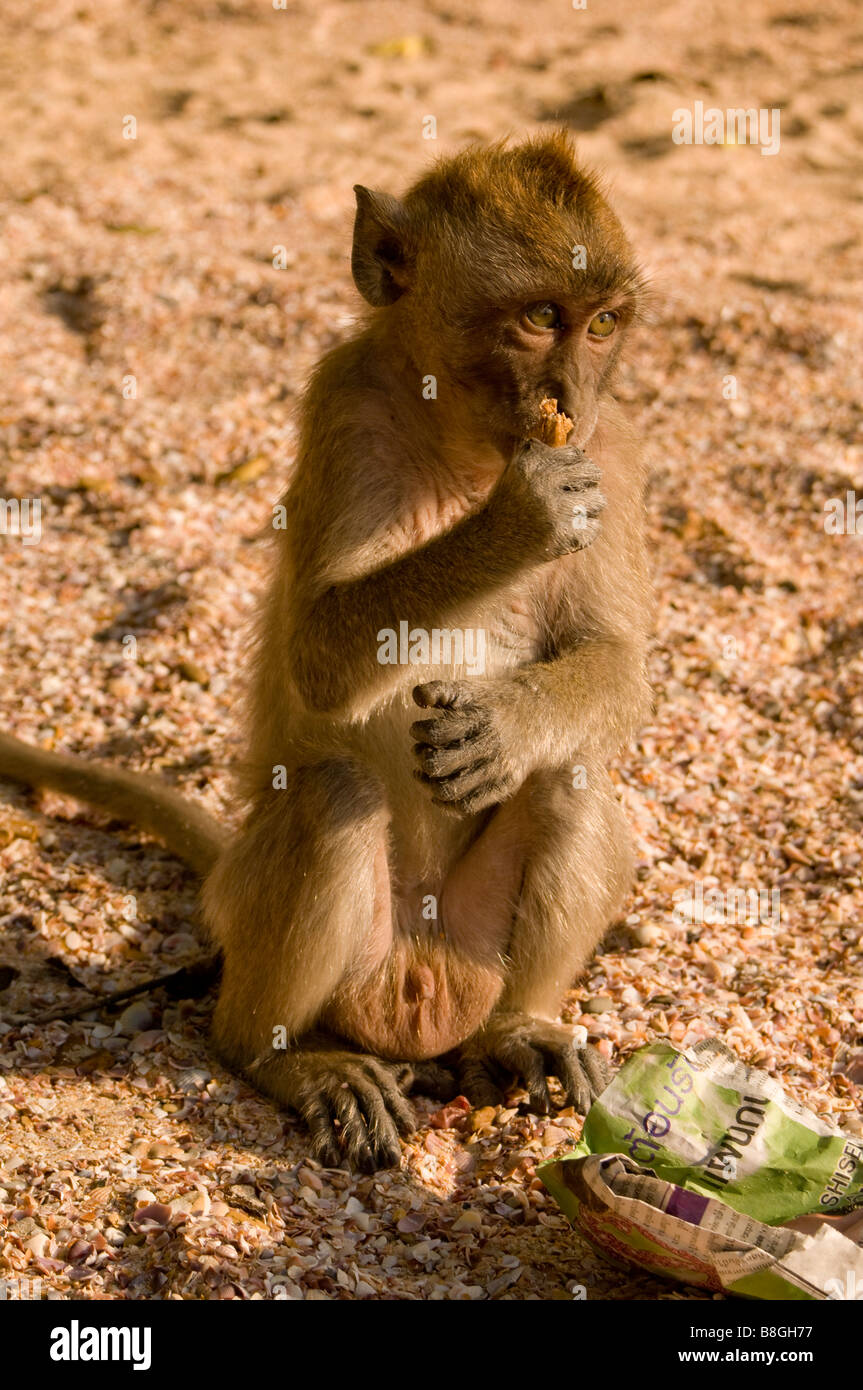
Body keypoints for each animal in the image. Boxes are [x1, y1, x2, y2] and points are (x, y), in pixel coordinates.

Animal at [0, 132, 651, 1171]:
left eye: (603, 325)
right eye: (542, 316)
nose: (569, 394)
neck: (462, 446)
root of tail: (423, 992)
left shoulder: (612, 450)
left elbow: (616, 658)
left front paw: (505, 728)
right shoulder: (345, 407)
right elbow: (316, 657)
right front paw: (519, 519)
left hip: (467, 946)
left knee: (570, 775)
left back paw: (517, 1028)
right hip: (341, 959)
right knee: (333, 796)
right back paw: (281, 1056)